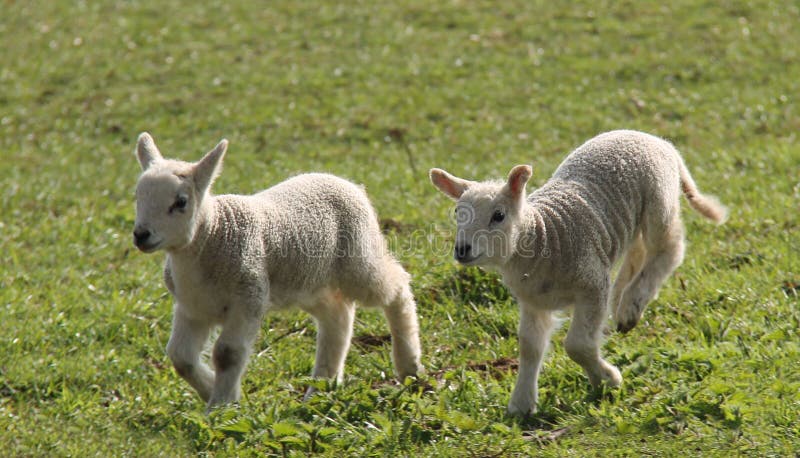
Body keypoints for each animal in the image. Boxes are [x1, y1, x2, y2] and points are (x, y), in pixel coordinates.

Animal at [132, 133, 423, 411]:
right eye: (137, 197)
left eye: (180, 202)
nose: (141, 235)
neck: (211, 233)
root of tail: (347, 183)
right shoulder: (193, 307)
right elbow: (181, 357)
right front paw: (212, 390)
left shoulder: (249, 297)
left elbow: (227, 354)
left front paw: (220, 408)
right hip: (310, 282)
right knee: (337, 316)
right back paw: (321, 390)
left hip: (358, 258)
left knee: (397, 285)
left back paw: (409, 366)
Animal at [429, 129, 727, 415]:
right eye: (457, 212)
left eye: (498, 216)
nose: (462, 249)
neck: (542, 235)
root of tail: (658, 140)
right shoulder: (533, 300)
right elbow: (529, 347)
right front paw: (521, 404)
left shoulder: (592, 284)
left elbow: (578, 345)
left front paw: (608, 380)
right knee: (638, 250)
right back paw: (622, 300)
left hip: (659, 202)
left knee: (669, 248)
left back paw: (630, 306)